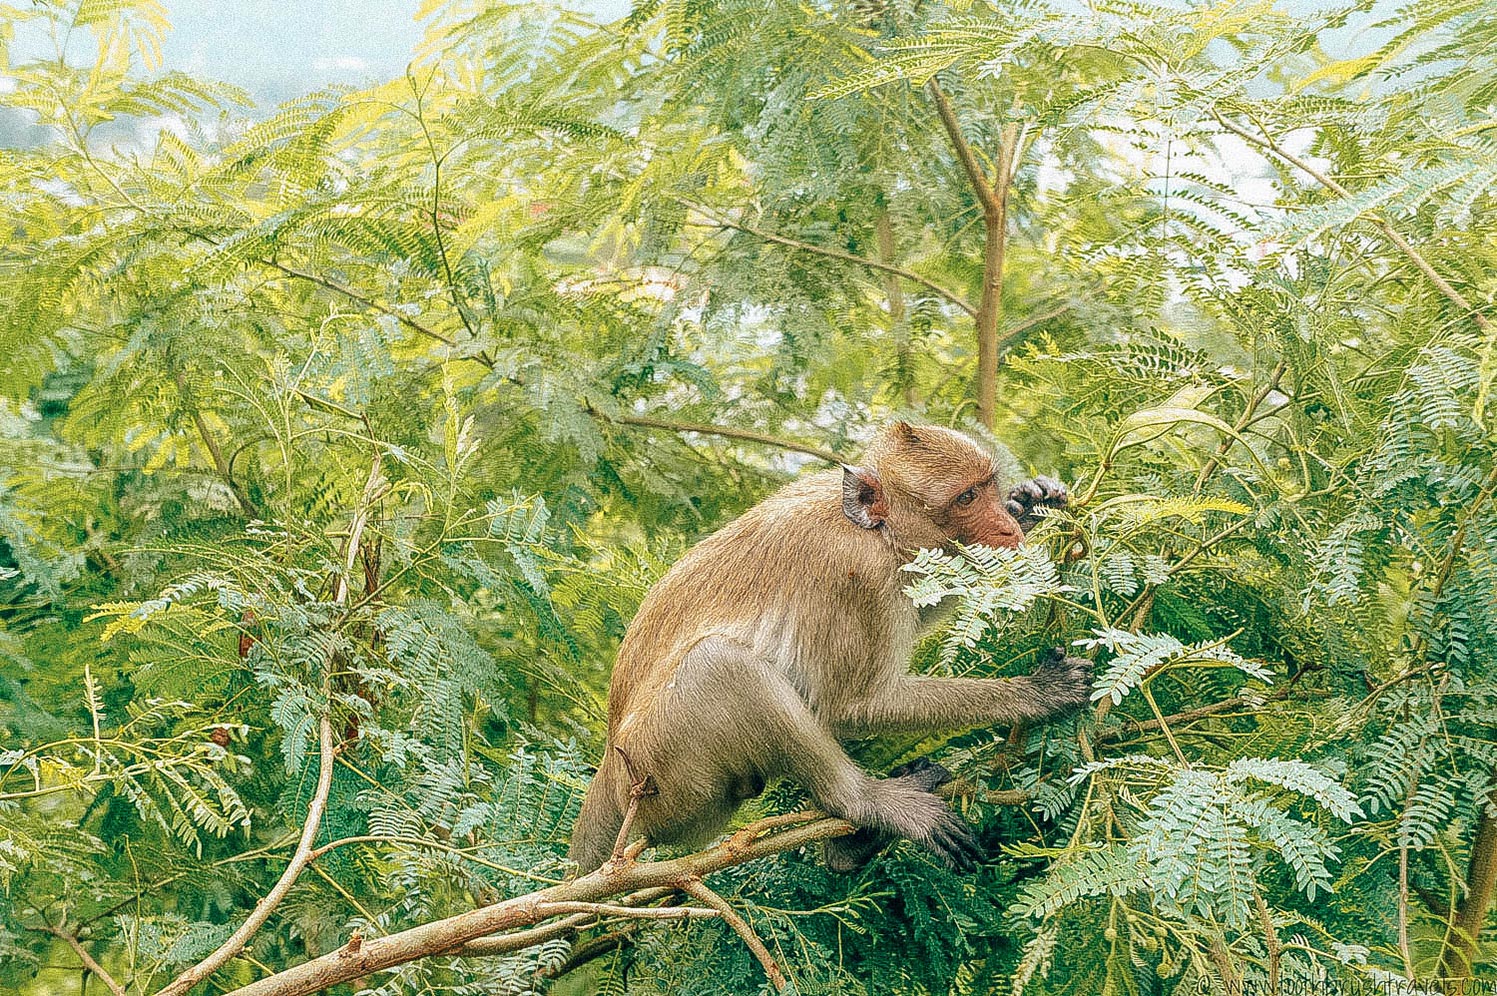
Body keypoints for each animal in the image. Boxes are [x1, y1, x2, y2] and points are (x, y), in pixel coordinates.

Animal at [567, 421, 1092, 874]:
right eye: (966, 498)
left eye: (987, 487)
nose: (1006, 528)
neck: (874, 531)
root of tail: (607, 778)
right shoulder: (860, 577)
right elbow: (854, 705)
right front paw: (1033, 692)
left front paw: (1031, 502)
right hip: (660, 778)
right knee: (722, 665)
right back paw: (866, 807)